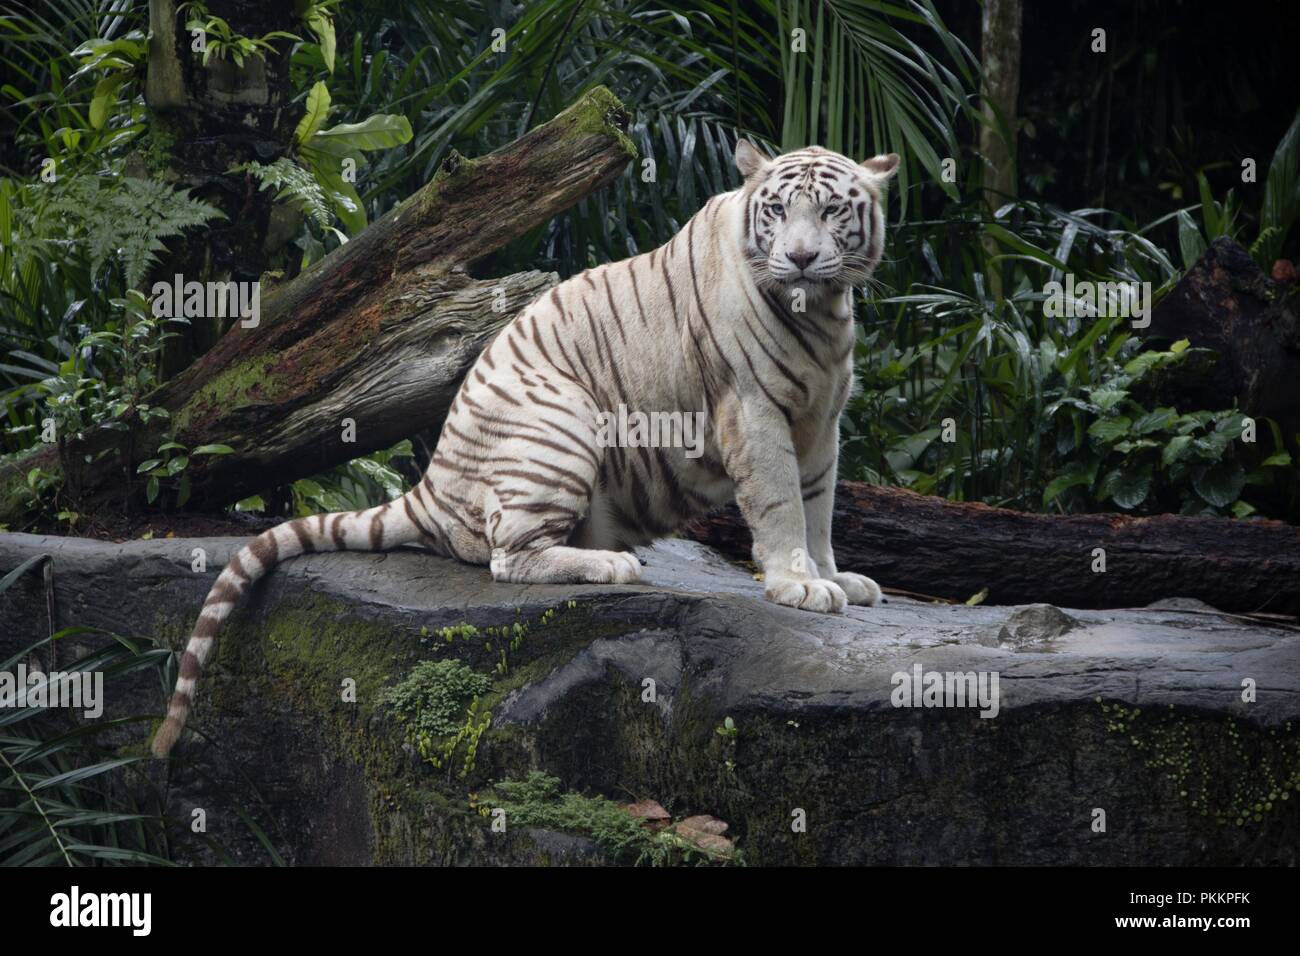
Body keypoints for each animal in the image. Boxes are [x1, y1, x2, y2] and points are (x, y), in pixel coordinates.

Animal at [150, 140, 900, 757]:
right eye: (777, 211)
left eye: (831, 211)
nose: (800, 258)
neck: (823, 313)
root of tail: (431, 485)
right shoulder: (753, 410)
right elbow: (780, 505)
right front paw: (799, 584)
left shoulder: (822, 423)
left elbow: (819, 507)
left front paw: (836, 578)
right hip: (561, 421)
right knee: (508, 558)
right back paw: (613, 565)